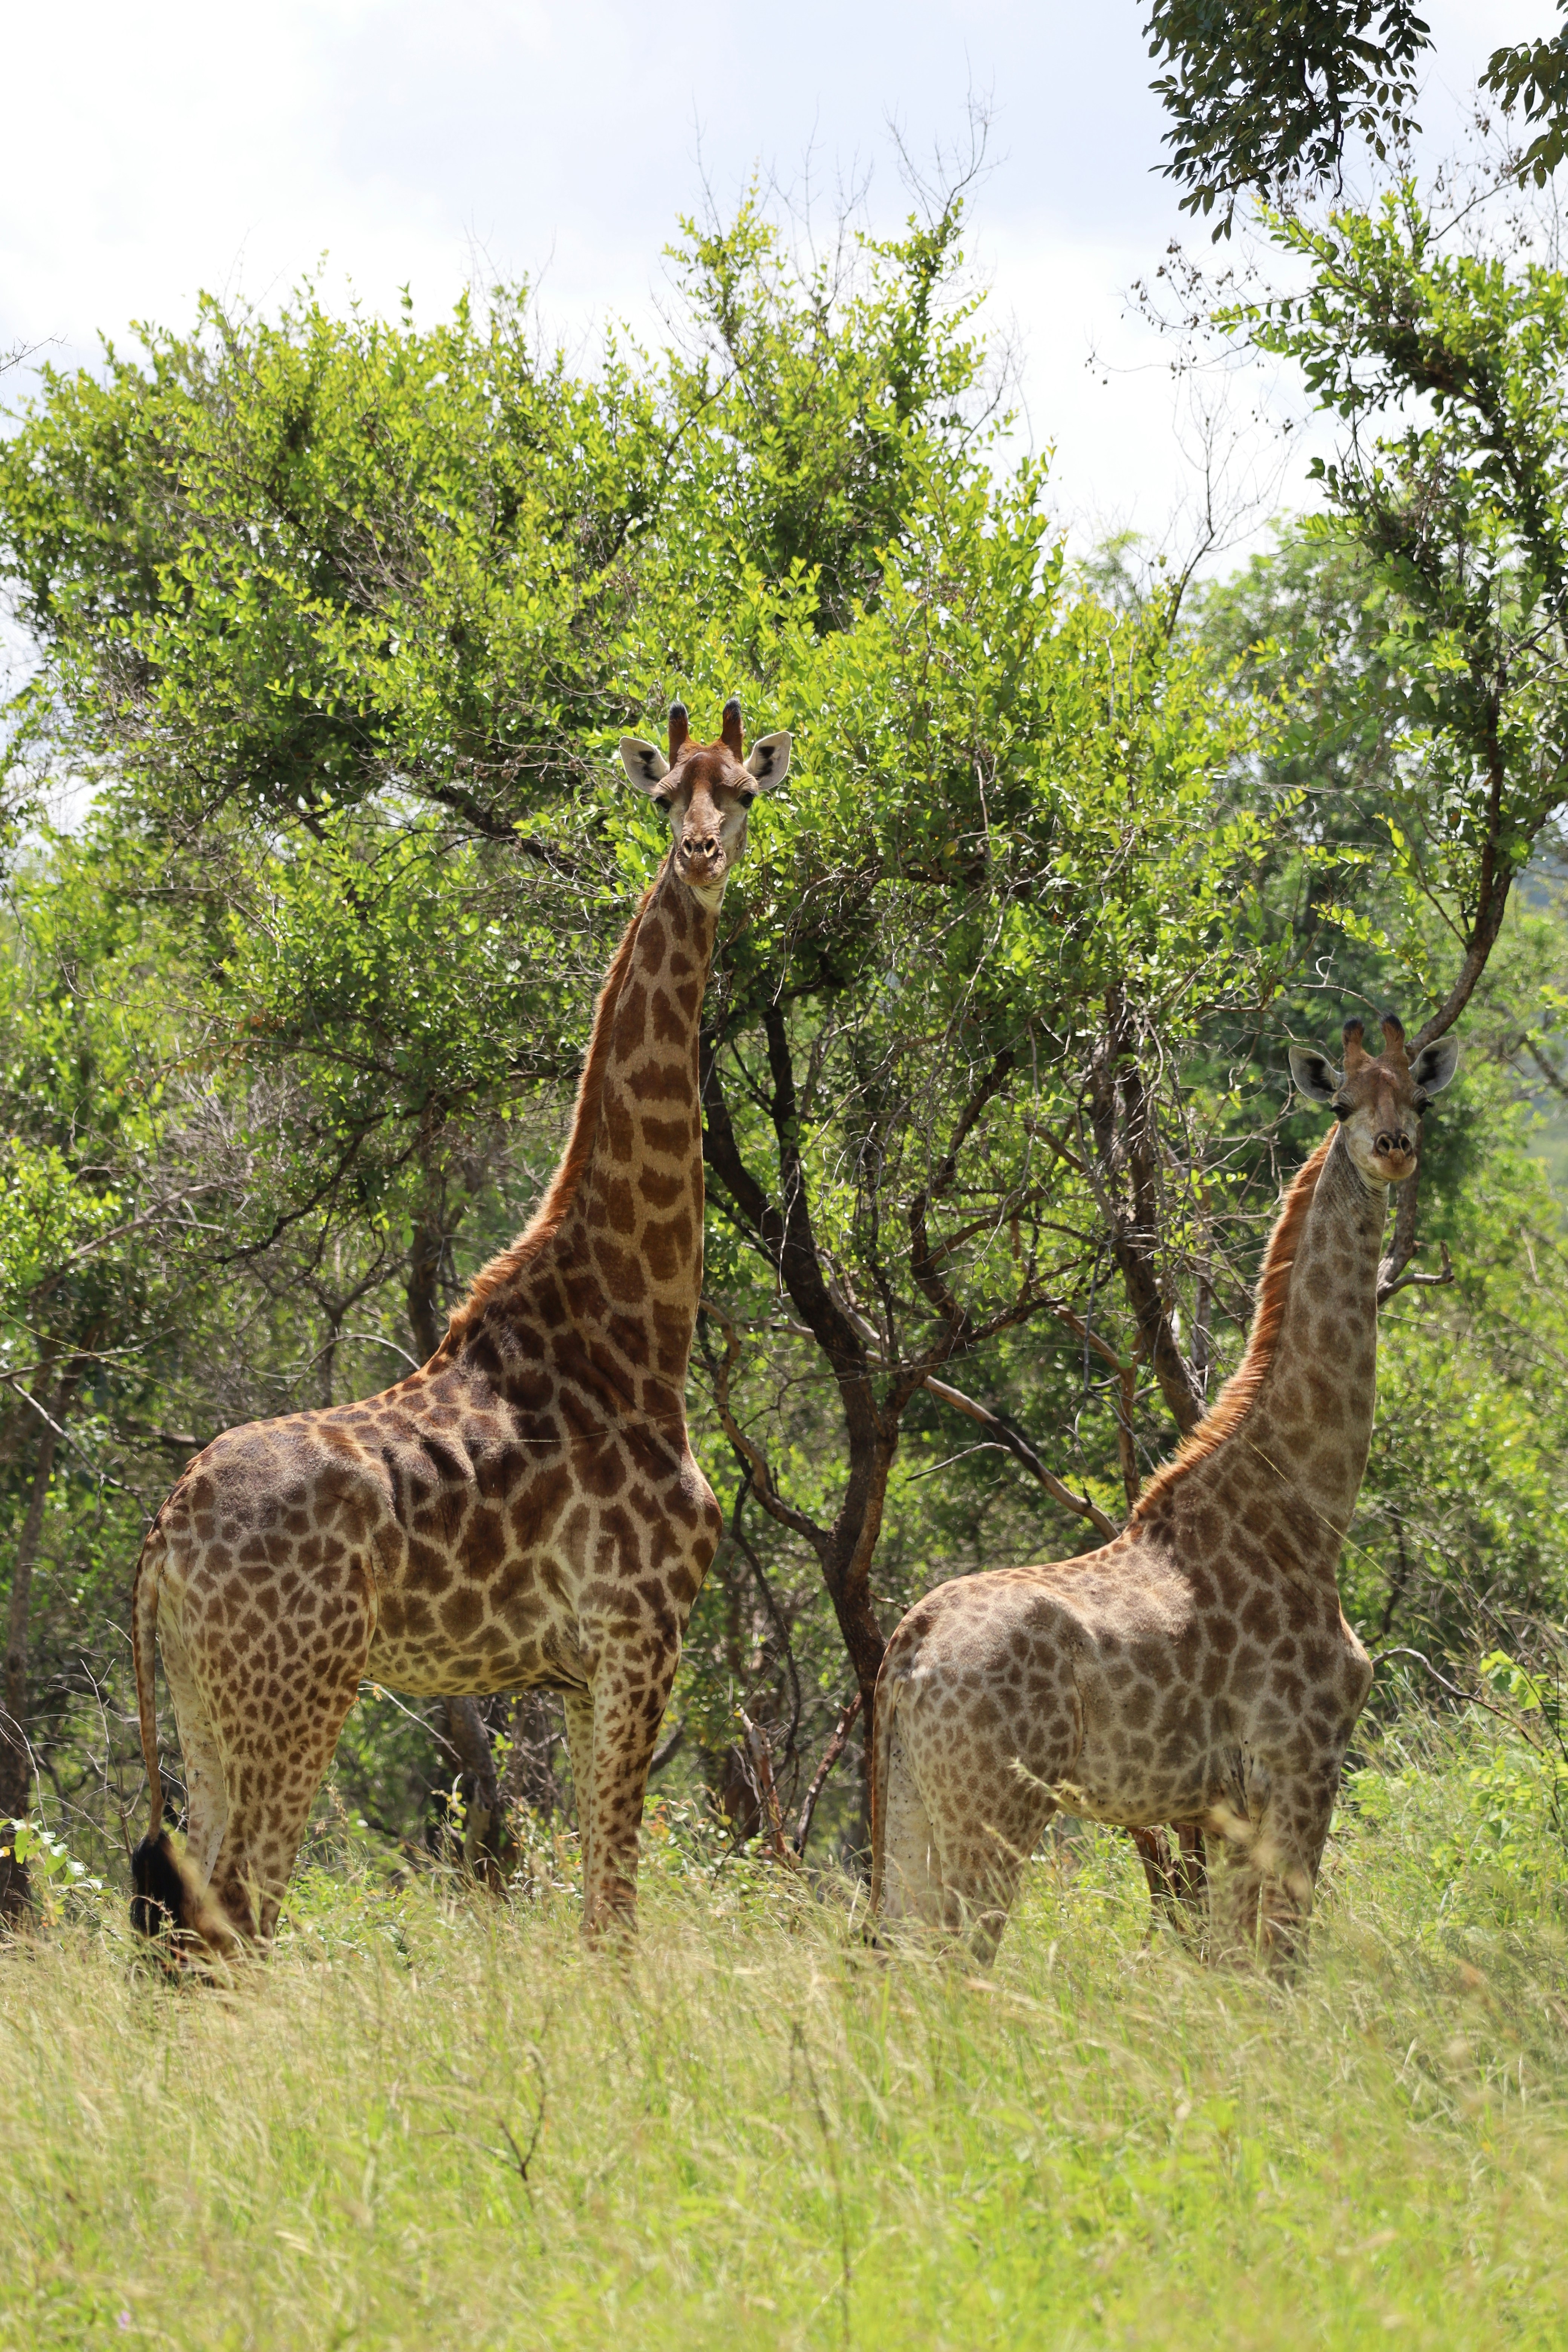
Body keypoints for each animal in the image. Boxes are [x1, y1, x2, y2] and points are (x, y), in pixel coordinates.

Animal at [130, 697, 791, 1953]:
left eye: (739, 793)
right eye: (662, 795)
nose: (699, 856)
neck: (636, 1326)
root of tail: (164, 1537)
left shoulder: (578, 1673)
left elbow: (597, 1907)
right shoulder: (641, 1635)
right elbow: (615, 1915)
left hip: (204, 1703)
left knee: (182, 1921)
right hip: (297, 1691)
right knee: (235, 1917)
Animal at [869, 1013, 1459, 1972]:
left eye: (1419, 1096)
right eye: (1340, 1102)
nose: (1393, 1148)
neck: (1305, 1512)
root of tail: (904, 1651)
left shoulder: (1219, 1804)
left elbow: (1231, 1961)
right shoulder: (1301, 1760)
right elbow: (1281, 1962)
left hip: (911, 1802)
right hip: (993, 1806)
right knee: (953, 1962)